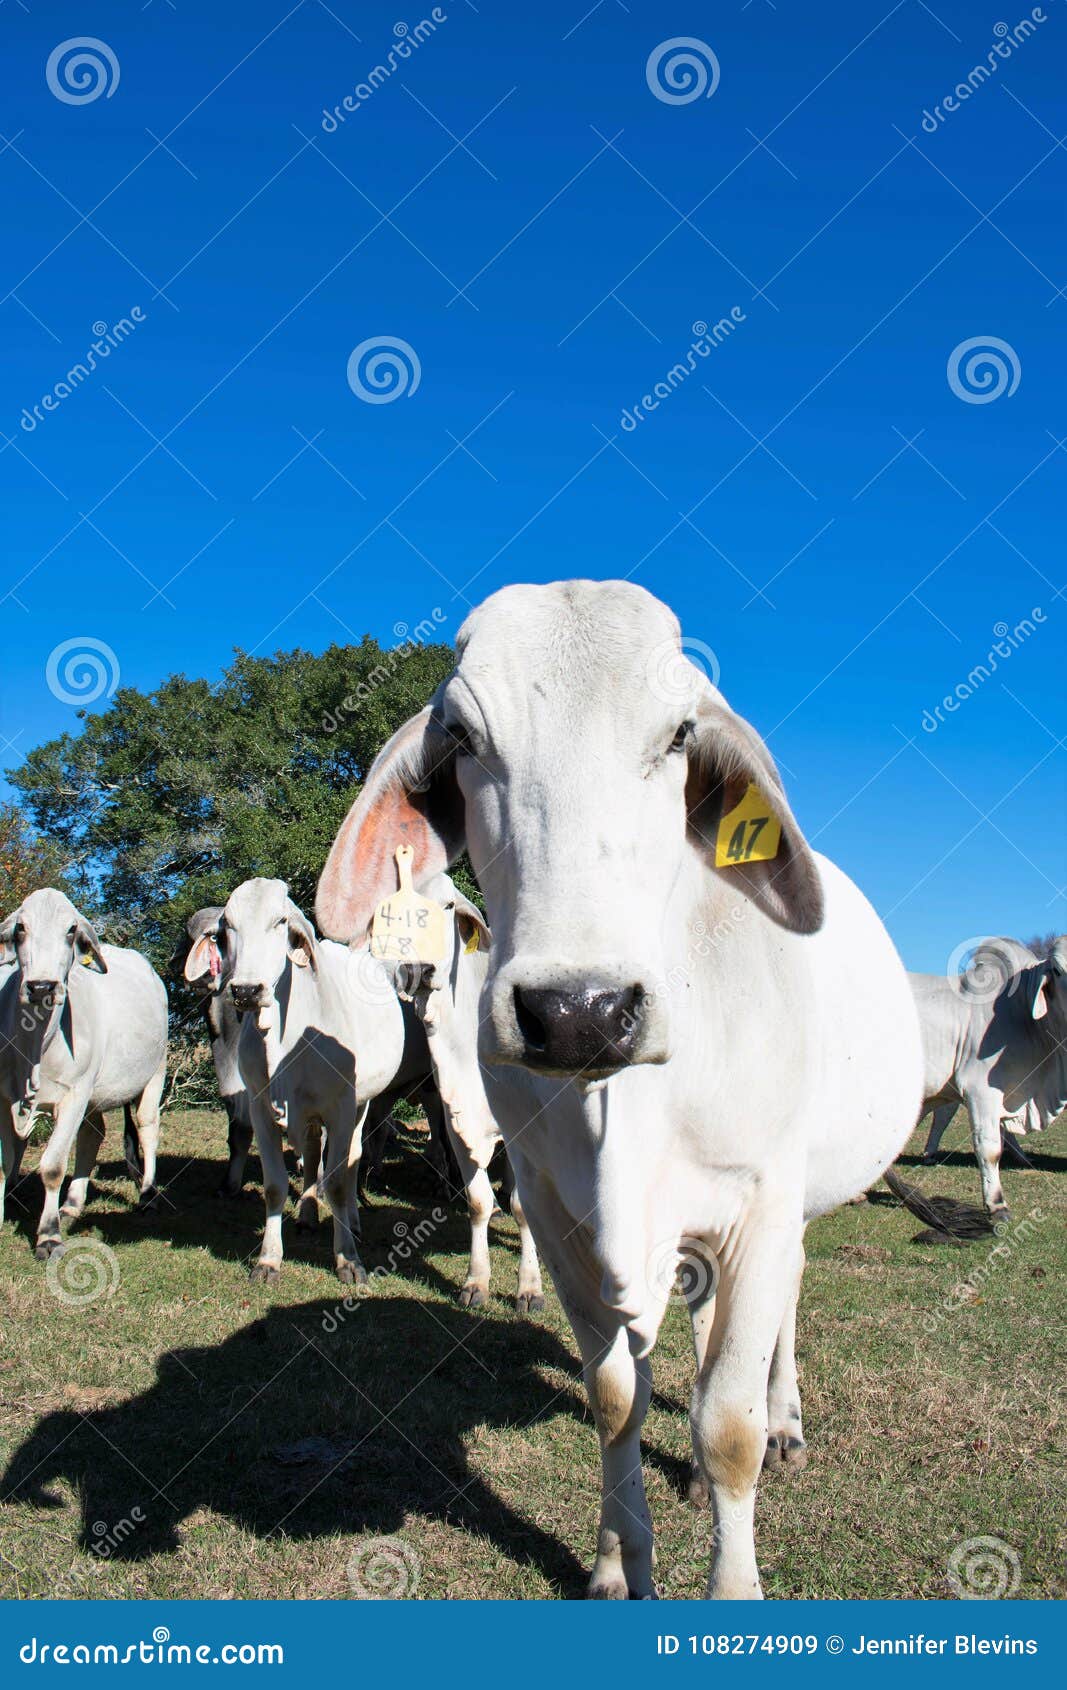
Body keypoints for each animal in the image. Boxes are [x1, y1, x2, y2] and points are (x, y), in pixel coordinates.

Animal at [0, 888, 167, 1259]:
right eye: (21, 929)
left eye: (70, 931)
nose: (42, 987)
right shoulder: (4, 1099)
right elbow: (4, 1162)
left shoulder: (74, 1094)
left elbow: (52, 1166)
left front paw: (48, 1236)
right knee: (94, 1134)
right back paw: (72, 1203)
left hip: (154, 1073)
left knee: (147, 1128)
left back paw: (148, 1195)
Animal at [185, 879, 404, 1285]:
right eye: (226, 929)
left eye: (280, 922)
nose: (246, 990)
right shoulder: (259, 1108)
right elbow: (275, 1185)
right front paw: (268, 1260)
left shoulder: (341, 1107)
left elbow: (337, 1182)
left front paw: (348, 1260)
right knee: (313, 1154)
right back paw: (306, 1214)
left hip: (361, 1105)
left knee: (351, 1159)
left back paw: (352, 1221)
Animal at [316, 579, 924, 1600]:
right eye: (463, 737)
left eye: (679, 734)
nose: (579, 1011)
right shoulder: (556, 1213)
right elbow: (612, 1397)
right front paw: (614, 1563)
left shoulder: (761, 1206)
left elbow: (727, 1429)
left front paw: (733, 1583)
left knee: (777, 1324)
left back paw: (787, 1420)